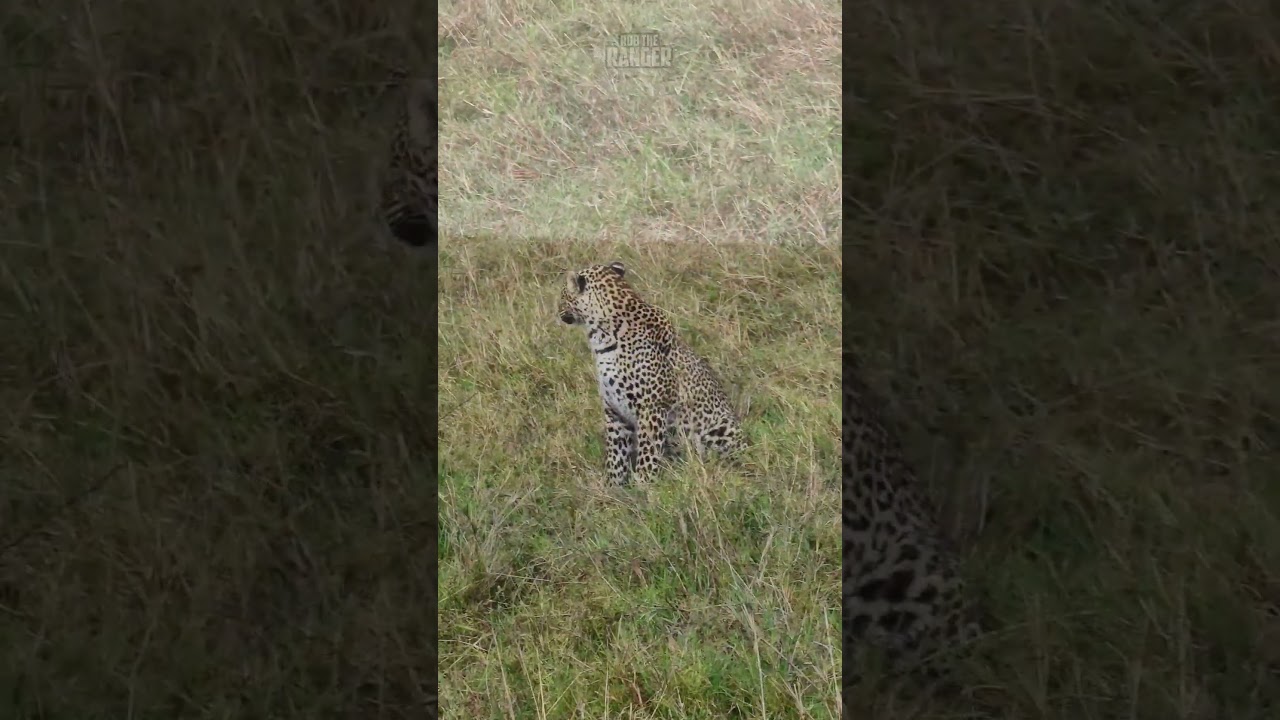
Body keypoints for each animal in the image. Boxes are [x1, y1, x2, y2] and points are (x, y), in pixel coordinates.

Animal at [559, 262, 745, 486]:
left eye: (562, 294)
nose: (558, 311)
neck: (602, 336)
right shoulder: (614, 411)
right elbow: (615, 455)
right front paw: (613, 487)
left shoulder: (651, 409)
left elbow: (647, 453)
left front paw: (643, 486)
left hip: (721, 430)